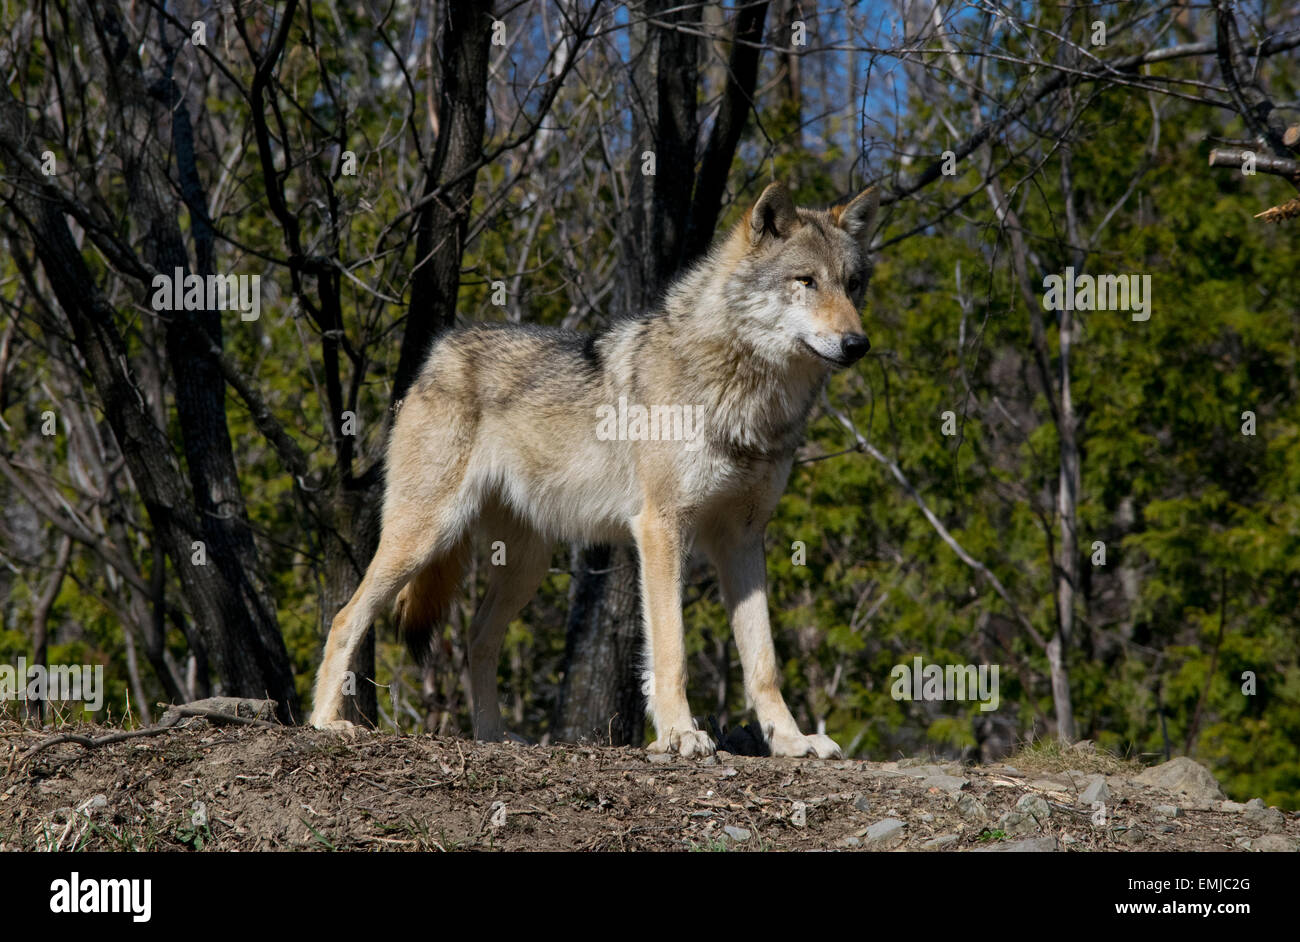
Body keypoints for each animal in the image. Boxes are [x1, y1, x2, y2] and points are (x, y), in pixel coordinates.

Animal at [310, 181, 880, 758]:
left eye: (853, 285)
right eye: (805, 281)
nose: (858, 345)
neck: (747, 397)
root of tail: (437, 354)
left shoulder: (742, 537)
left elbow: (763, 661)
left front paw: (792, 740)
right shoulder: (661, 527)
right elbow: (670, 649)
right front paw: (680, 733)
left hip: (524, 565)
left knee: (477, 639)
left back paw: (493, 736)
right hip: (426, 535)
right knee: (345, 617)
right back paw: (325, 723)